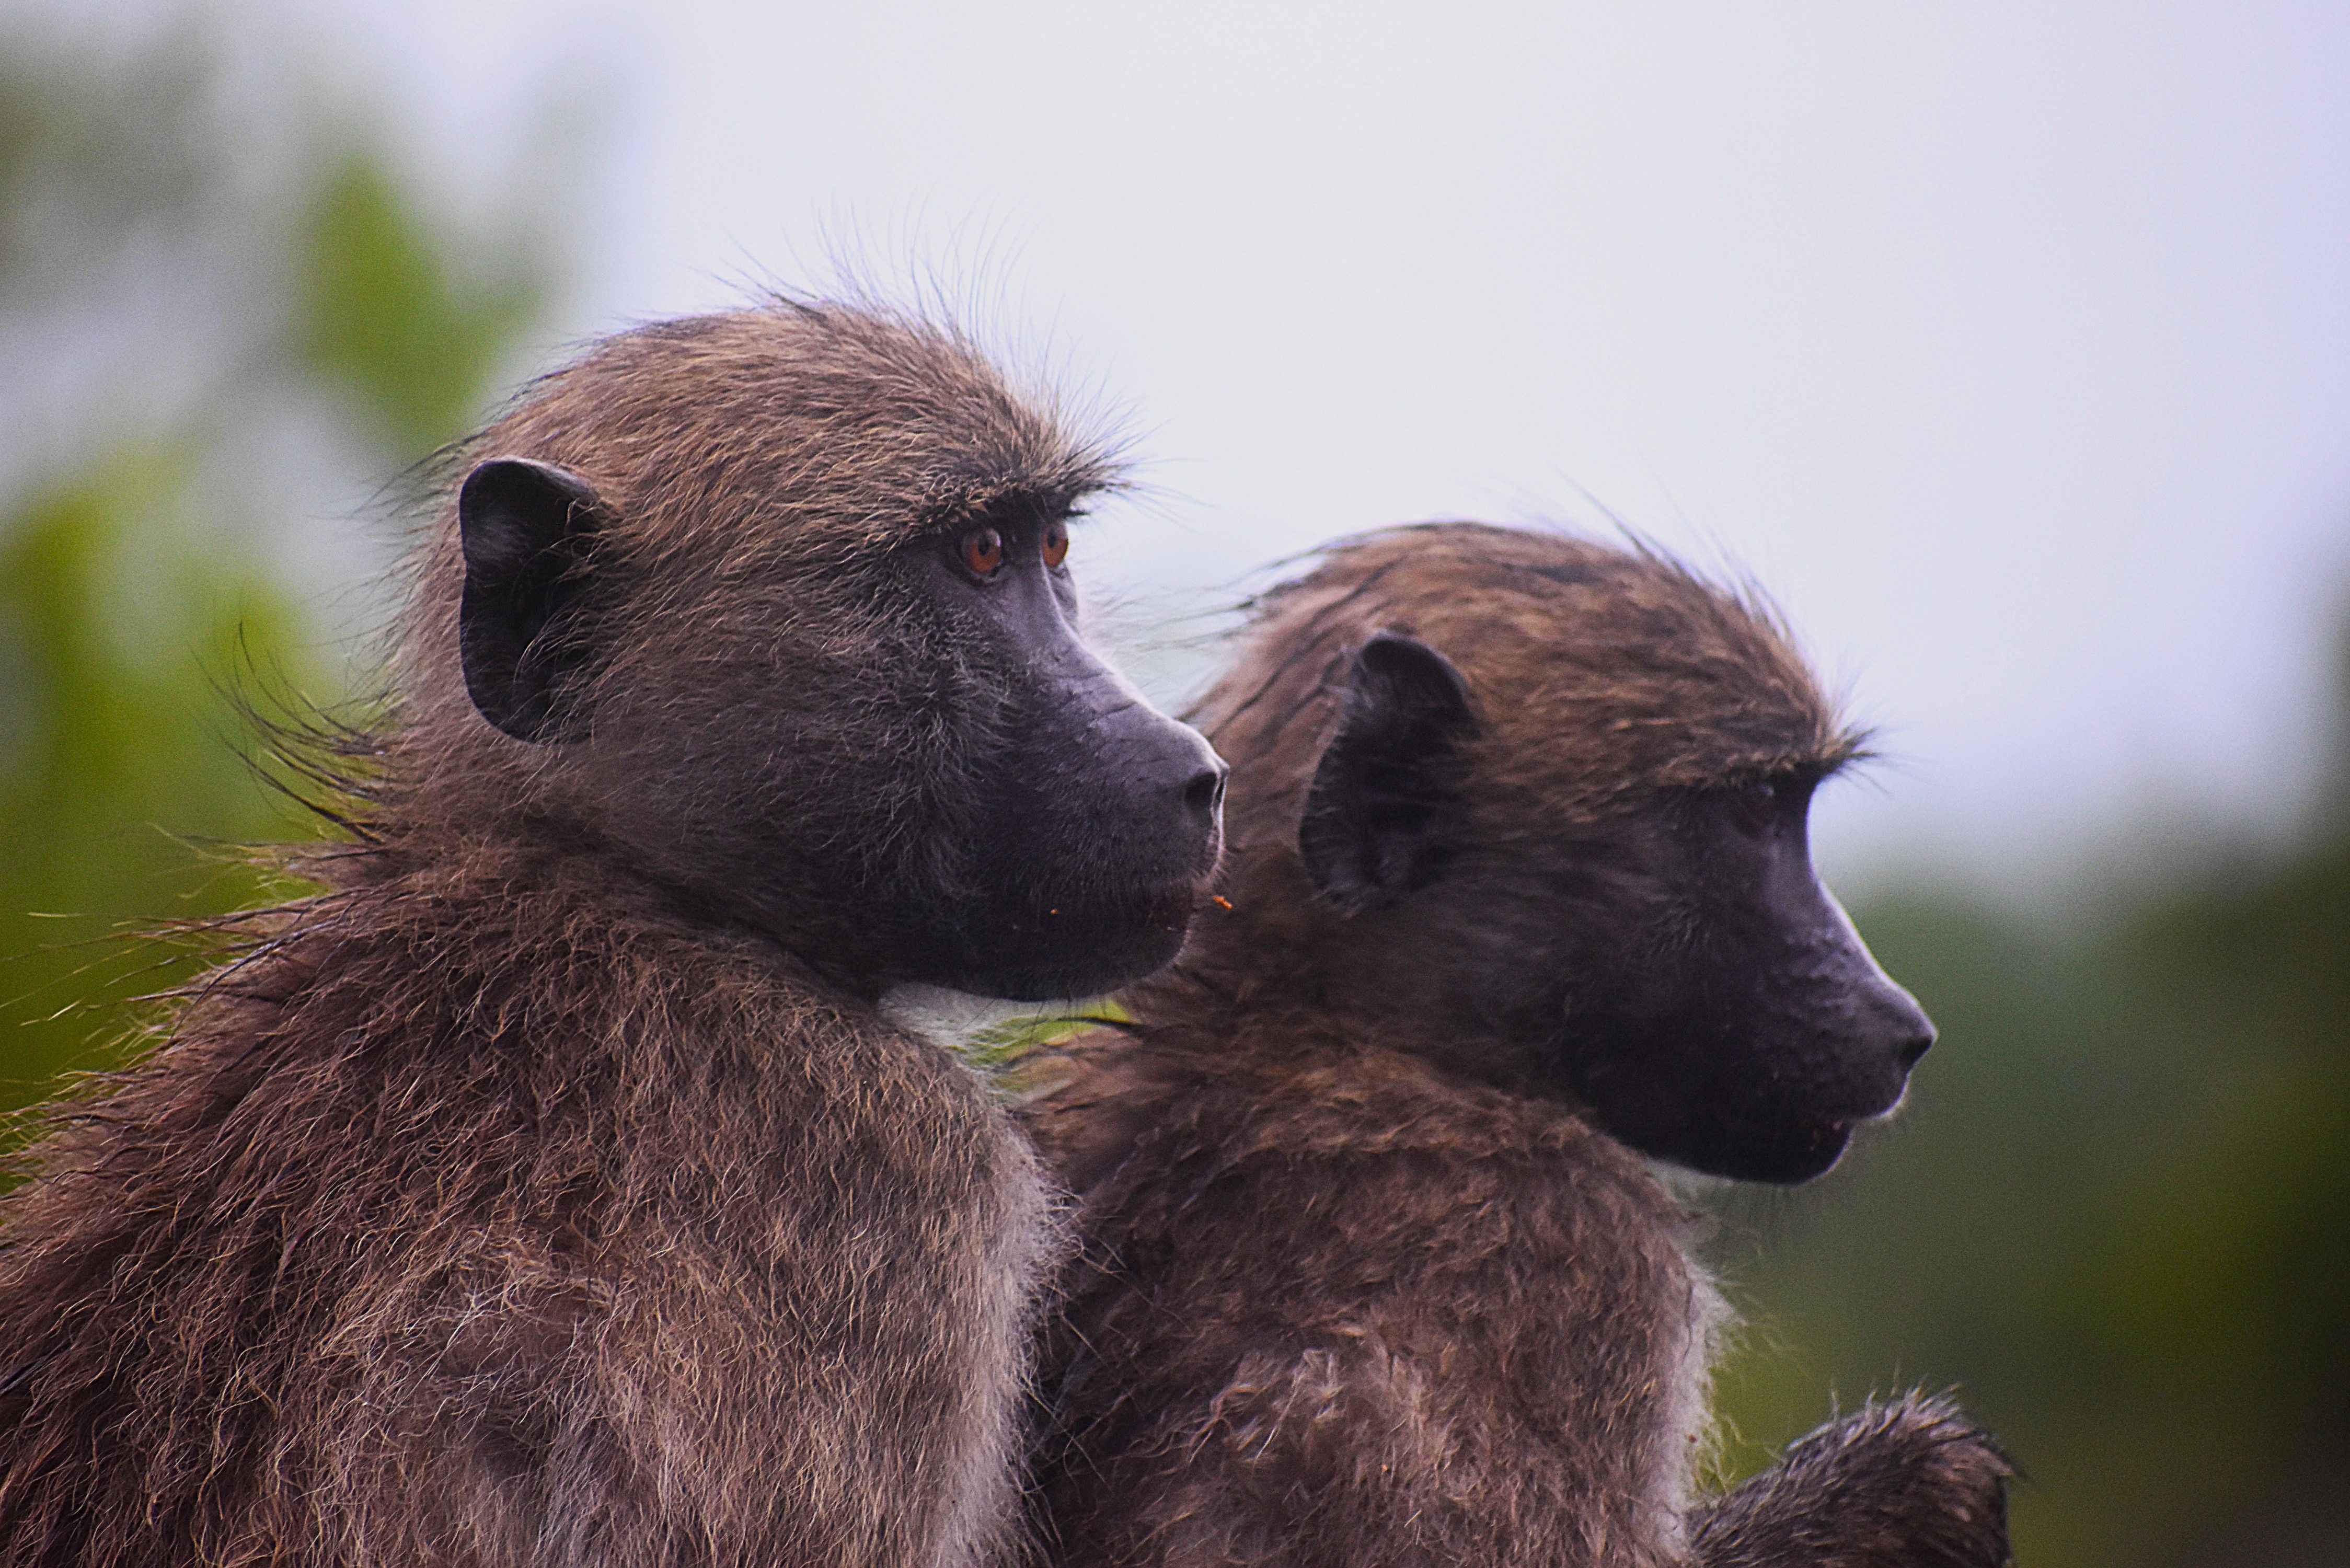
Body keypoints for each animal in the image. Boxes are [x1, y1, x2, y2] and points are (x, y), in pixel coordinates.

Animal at [1018, 523, 2011, 1568]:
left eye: (1789, 807)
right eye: (1753, 811)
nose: (1902, 1030)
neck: (1333, 1034)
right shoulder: (1576, 1252)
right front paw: (1925, 1485)